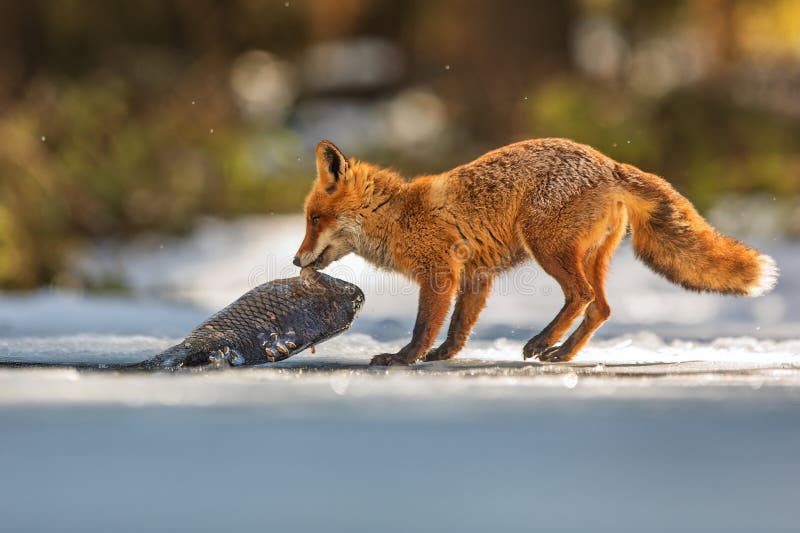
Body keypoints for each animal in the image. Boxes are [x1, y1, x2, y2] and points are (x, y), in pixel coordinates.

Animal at [293, 138, 779, 366]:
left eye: (314, 219)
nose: (296, 261)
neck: (396, 217)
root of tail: (609, 163)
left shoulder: (440, 273)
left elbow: (424, 326)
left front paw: (402, 358)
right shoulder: (476, 276)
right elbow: (459, 328)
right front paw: (445, 356)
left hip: (548, 247)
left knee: (581, 297)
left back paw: (544, 342)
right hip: (590, 257)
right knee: (601, 308)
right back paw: (562, 353)